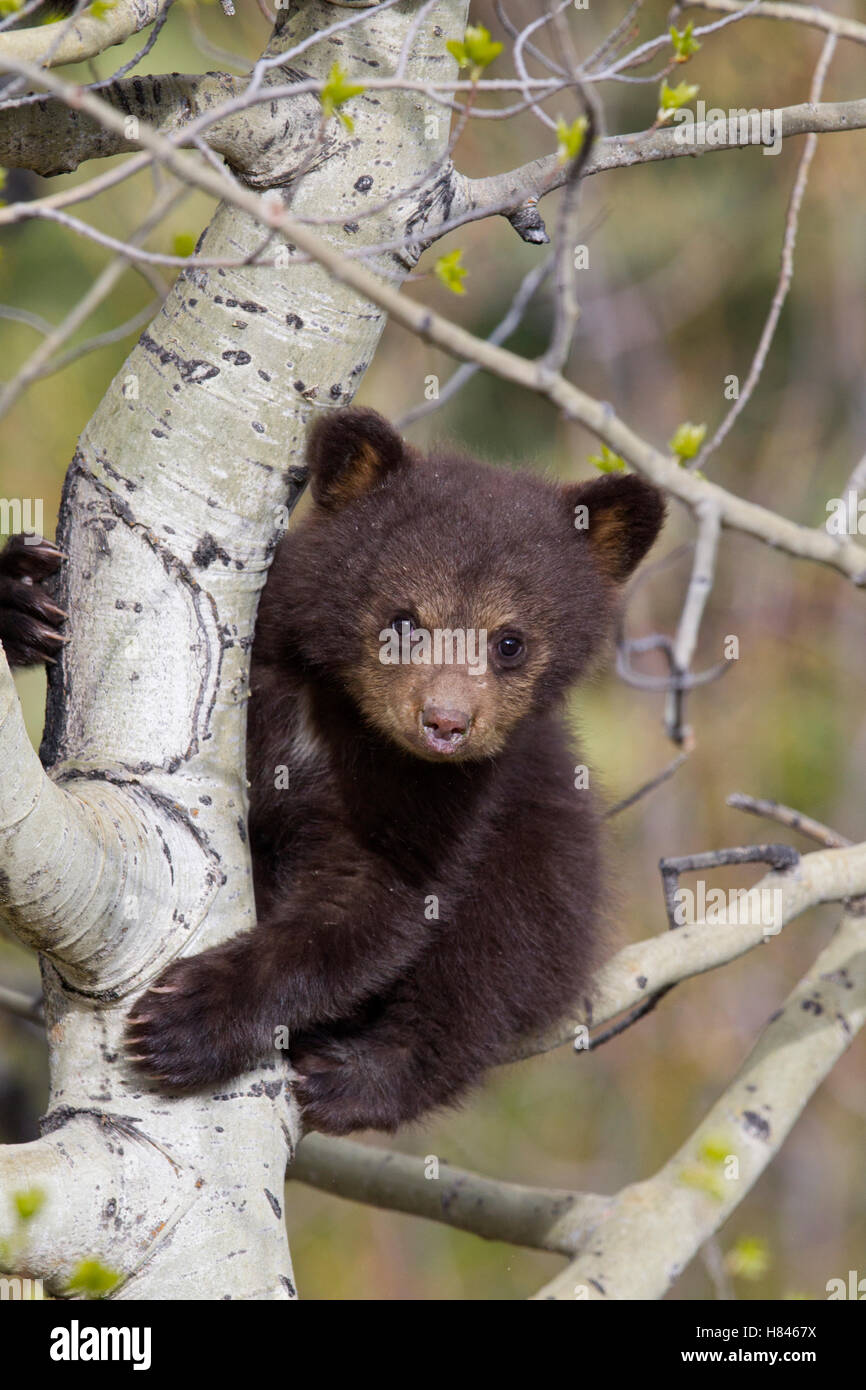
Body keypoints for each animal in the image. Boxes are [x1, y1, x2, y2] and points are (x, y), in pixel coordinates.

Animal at [0, 409, 664, 1134]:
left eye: (509, 641)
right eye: (404, 619)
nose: (445, 722)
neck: (343, 718)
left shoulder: (446, 795)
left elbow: (369, 902)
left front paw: (191, 1018)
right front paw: (21, 596)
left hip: (545, 860)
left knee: (490, 968)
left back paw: (355, 1076)